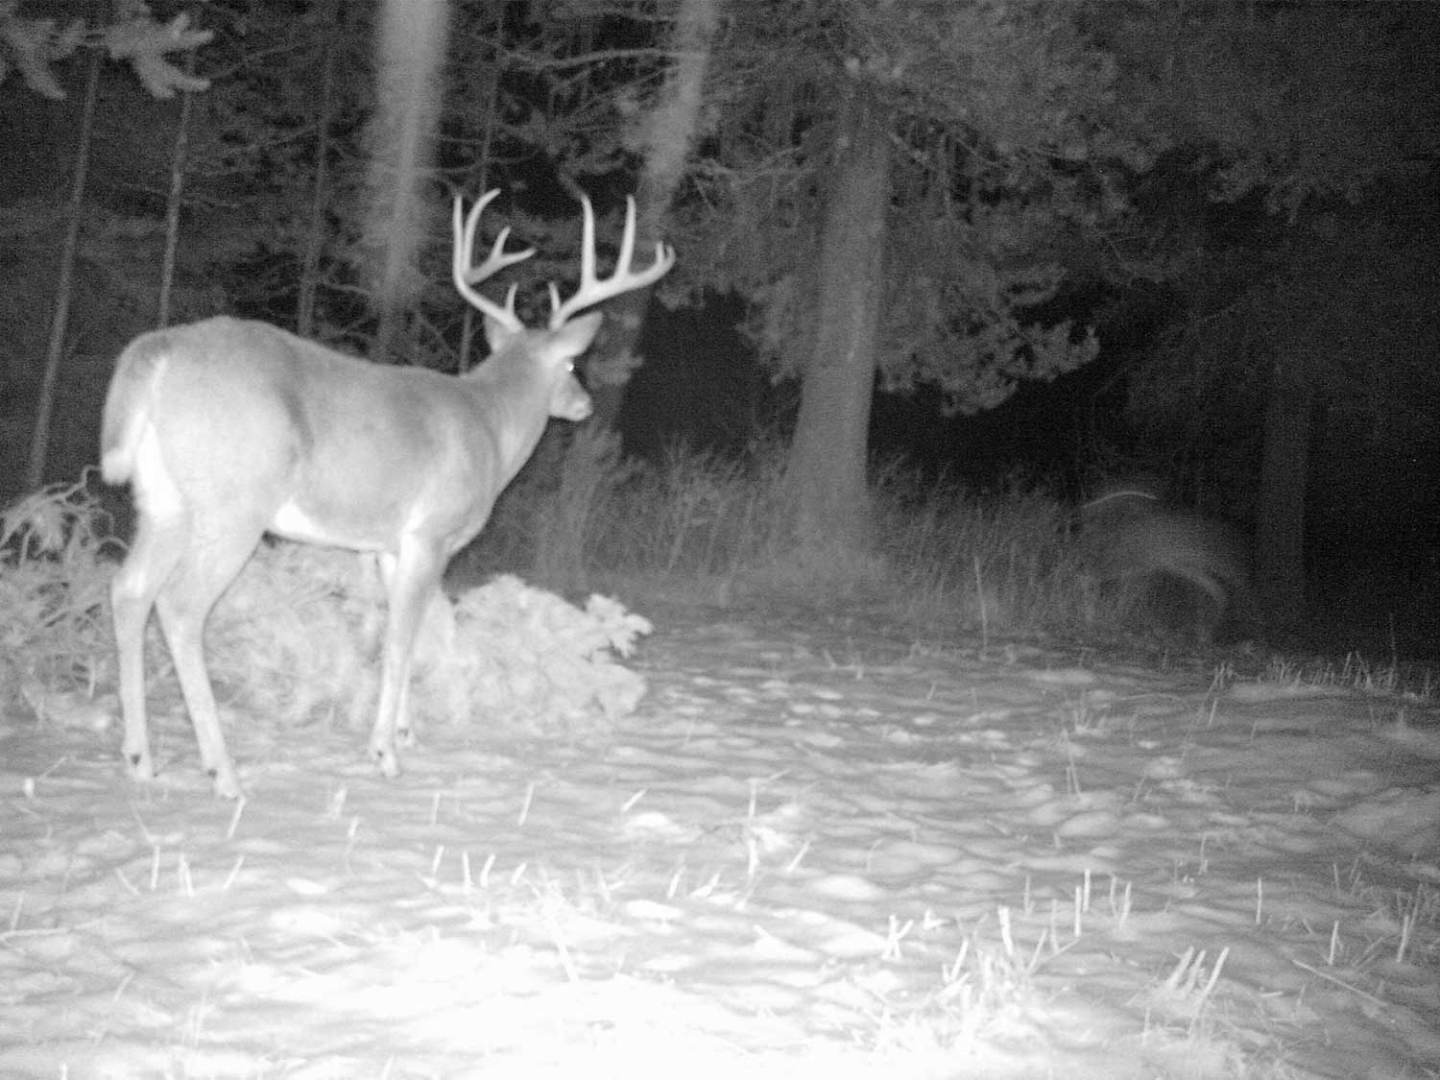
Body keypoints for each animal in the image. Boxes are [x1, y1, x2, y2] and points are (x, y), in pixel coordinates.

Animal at [100, 190, 674, 797]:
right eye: (569, 363)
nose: (583, 404)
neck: (491, 428)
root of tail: (159, 351)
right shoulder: (431, 533)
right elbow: (400, 639)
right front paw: (384, 752)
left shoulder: (387, 546)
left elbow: (404, 635)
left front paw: (404, 732)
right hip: (234, 504)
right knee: (180, 605)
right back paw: (223, 772)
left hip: (162, 501)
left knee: (128, 589)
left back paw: (140, 759)